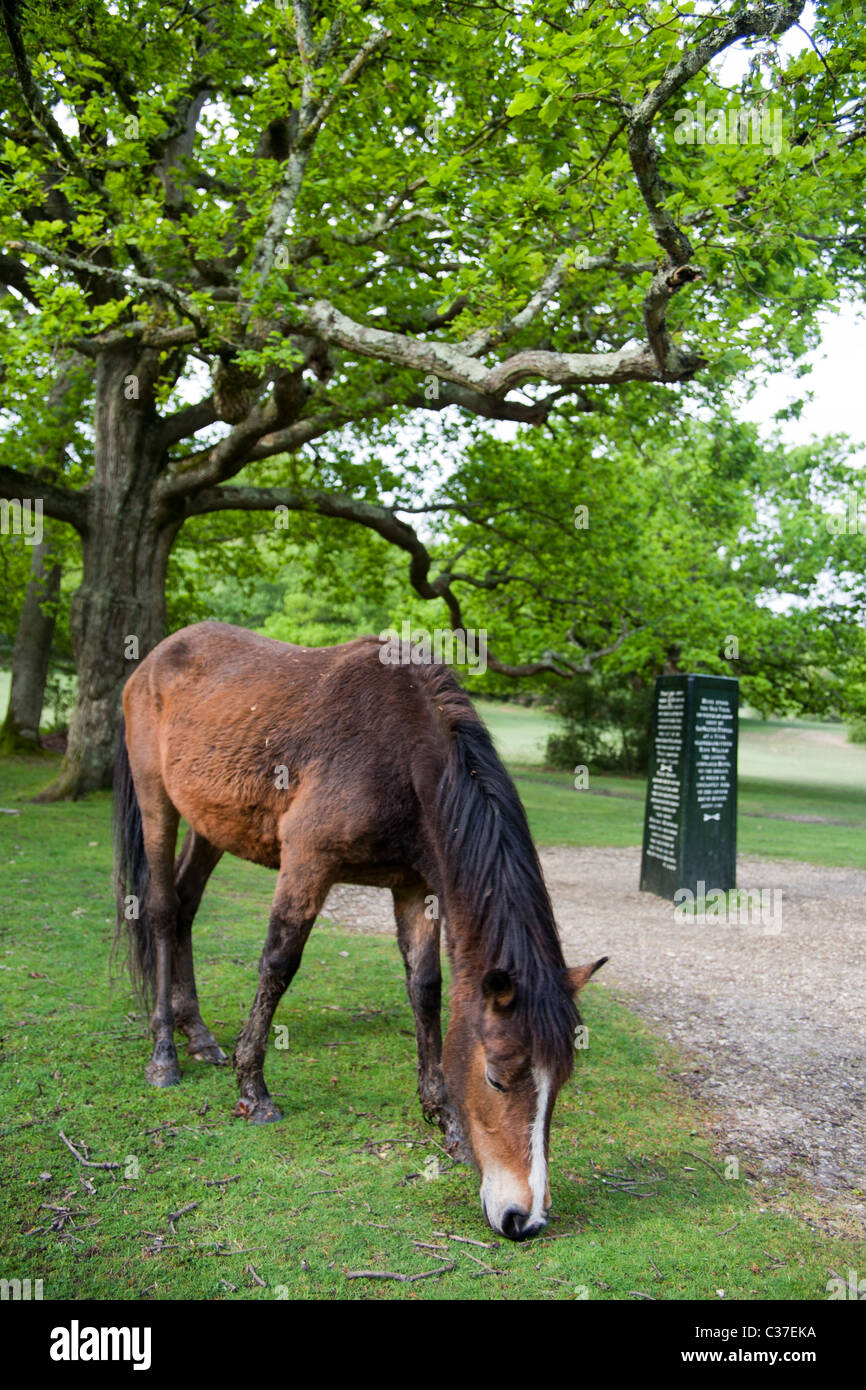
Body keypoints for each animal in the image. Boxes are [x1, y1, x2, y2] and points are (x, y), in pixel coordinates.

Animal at [113, 620, 606, 1240]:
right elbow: (278, 964)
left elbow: (425, 989)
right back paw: (164, 1055)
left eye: (559, 1084)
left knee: (183, 909)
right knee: (159, 911)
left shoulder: (416, 887)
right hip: (157, 799)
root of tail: (156, 656)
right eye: (497, 1079)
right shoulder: (308, 862)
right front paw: (254, 1091)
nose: (526, 1219)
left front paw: (444, 1120)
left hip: (209, 823)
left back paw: (198, 1035)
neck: (401, 753)